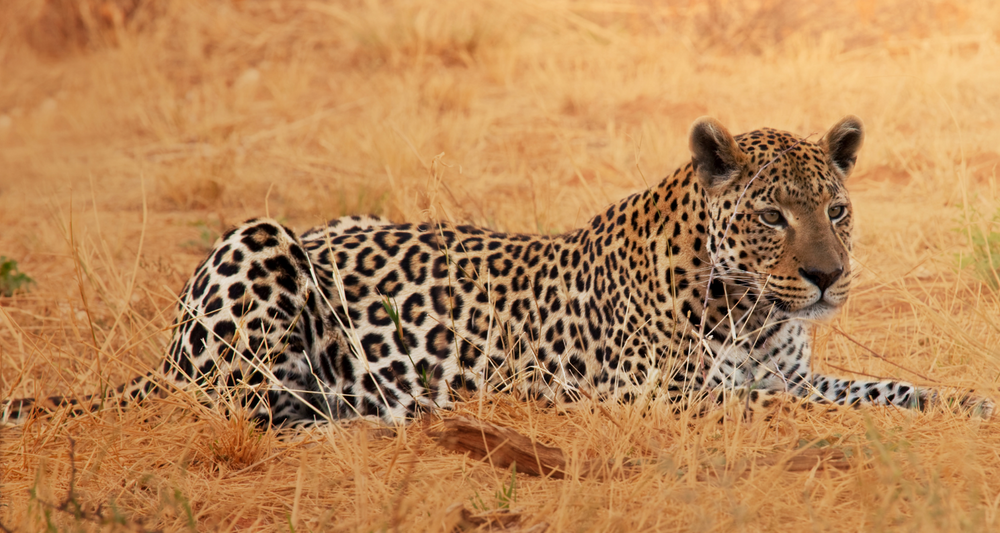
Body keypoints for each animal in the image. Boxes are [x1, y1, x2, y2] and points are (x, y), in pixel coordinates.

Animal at [3, 116, 994, 427]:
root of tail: (164, 351)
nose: (828, 277)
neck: (753, 313)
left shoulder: (794, 371)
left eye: (836, 209)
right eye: (770, 216)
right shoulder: (673, 399)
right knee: (255, 408)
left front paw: (969, 403)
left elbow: (884, 388)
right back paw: (393, 413)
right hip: (259, 240)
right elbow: (791, 409)